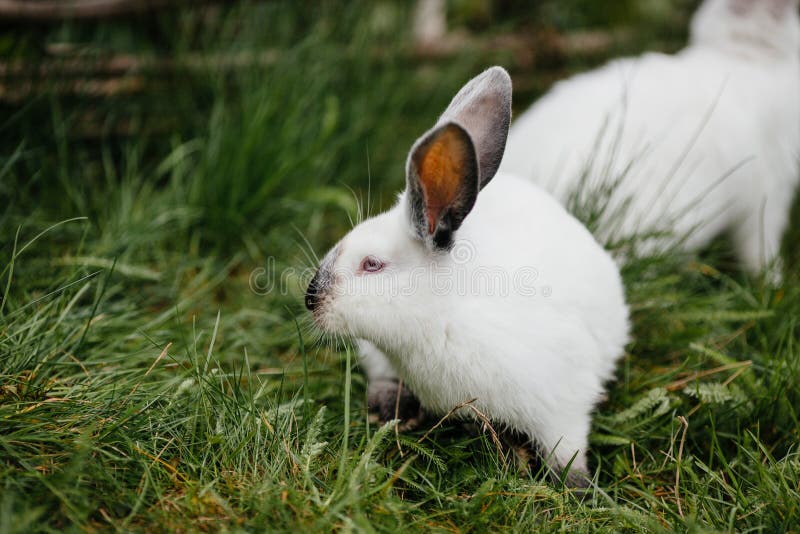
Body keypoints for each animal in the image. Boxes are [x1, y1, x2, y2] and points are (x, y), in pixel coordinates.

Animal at [305, 67, 630, 486]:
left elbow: (567, 451)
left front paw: (579, 488)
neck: (440, 316)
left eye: (372, 264)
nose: (311, 298)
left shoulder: (563, 403)